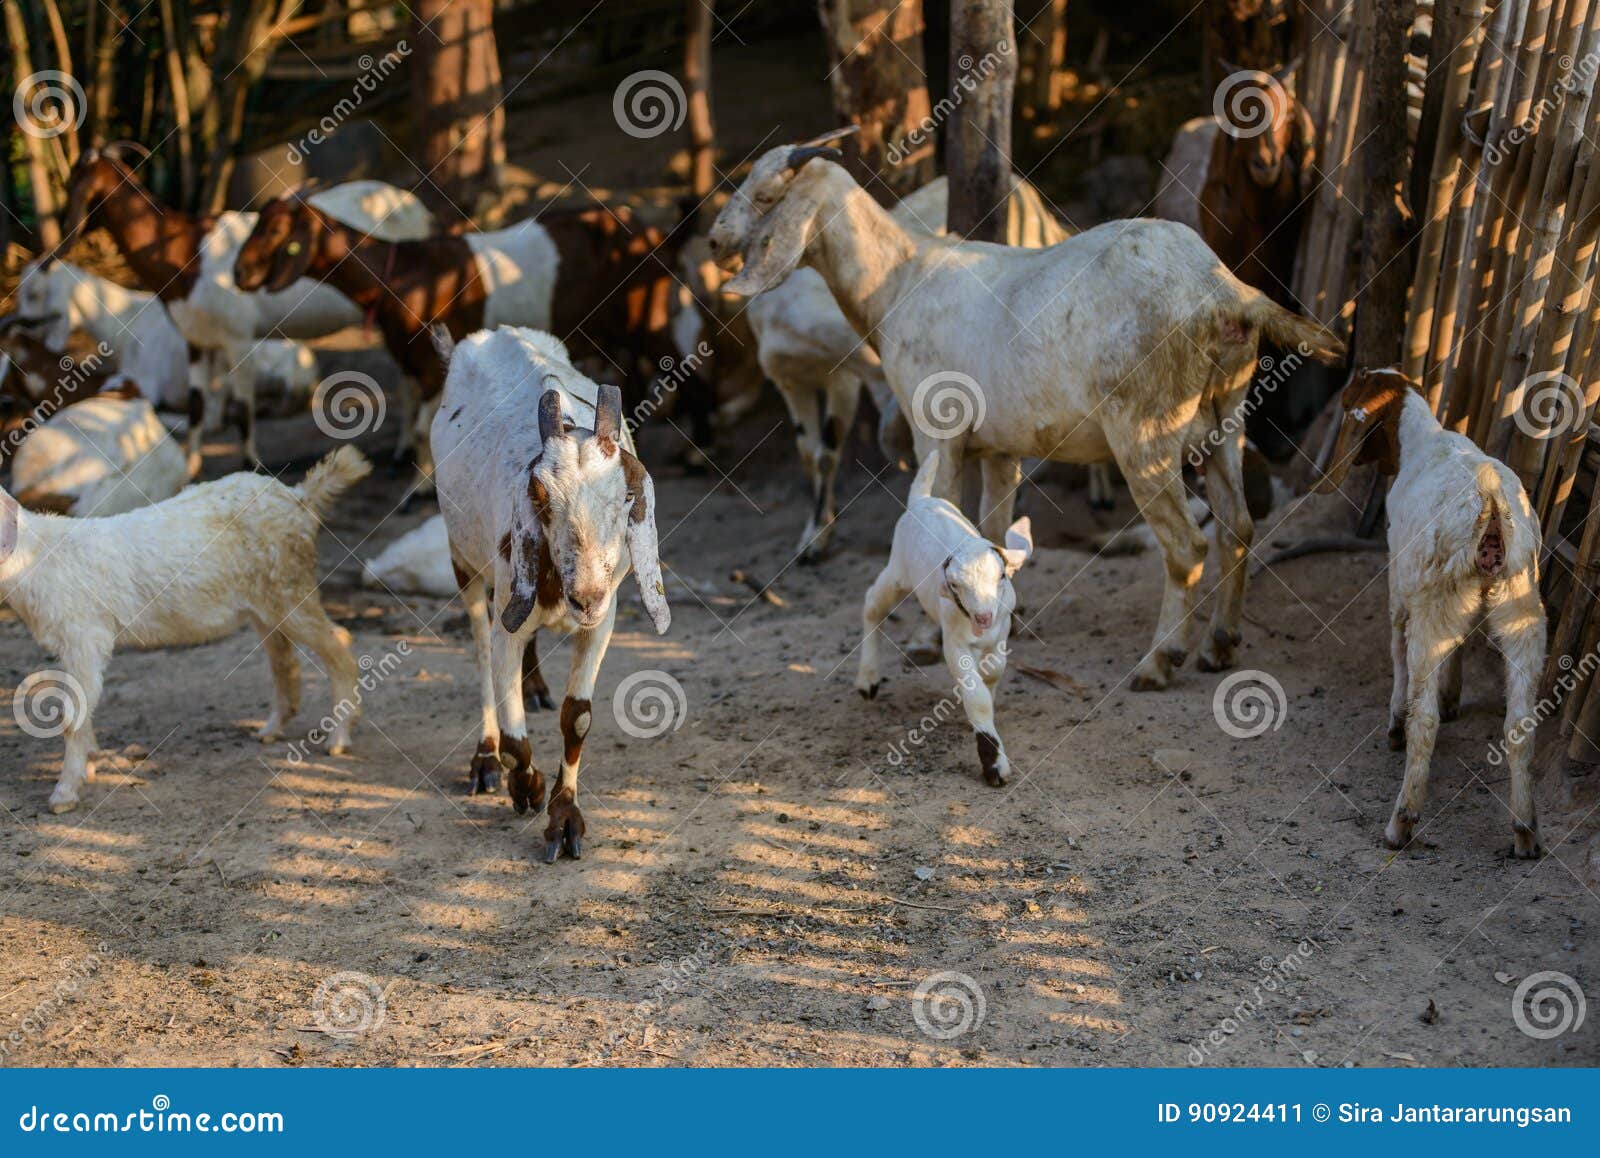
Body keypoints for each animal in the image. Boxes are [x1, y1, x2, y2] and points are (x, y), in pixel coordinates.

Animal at [0, 446, 369, 813]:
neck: (35, 557)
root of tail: (299, 497)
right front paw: (89, 764)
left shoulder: (84, 636)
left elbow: (71, 715)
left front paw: (64, 793)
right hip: (266, 603)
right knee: (284, 660)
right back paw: (274, 727)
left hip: (291, 588)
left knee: (337, 644)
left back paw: (339, 738)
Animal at [431, 327, 670, 862]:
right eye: (541, 498)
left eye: (626, 497)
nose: (586, 597)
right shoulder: (507, 615)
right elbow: (514, 731)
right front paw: (527, 788)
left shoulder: (603, 623)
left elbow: (576, 717)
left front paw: (564, 819)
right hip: (463, 559)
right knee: (480, 649)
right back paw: (485, 758)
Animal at [709, 136, 1343, 688]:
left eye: (764, 195)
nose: (714, 242)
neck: (899, 280)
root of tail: (1223, 292)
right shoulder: (1000, 447)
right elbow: (987, 531)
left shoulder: (937, 434)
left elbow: (942, 524)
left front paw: (923, 638)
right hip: (1227, 418)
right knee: (1238, 525)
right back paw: (1219, 645)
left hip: (1145, 430)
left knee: (1188, 544)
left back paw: (1160, 661)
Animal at [857, 450, 1032, 787]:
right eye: (954, 585)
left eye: (1002, 576)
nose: (983, 616)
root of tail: (922, 499)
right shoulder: (954, 642)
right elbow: (977, 696)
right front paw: (994, 766)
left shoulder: (1001, 633)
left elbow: (992, 675)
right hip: (898, 570)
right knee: (872, 603)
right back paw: (867, 679)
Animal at [1314, 368, 1545, 857]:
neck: (1423, 440)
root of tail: (1489, 505)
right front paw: (1453, 695)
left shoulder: (1401, 590)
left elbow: (1396, 652)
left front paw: (1394, 725)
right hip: (1522, 609)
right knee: (1519, 723)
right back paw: (1525, 830)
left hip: (1434, 607)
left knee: (1426, 718)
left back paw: (1401, 822)